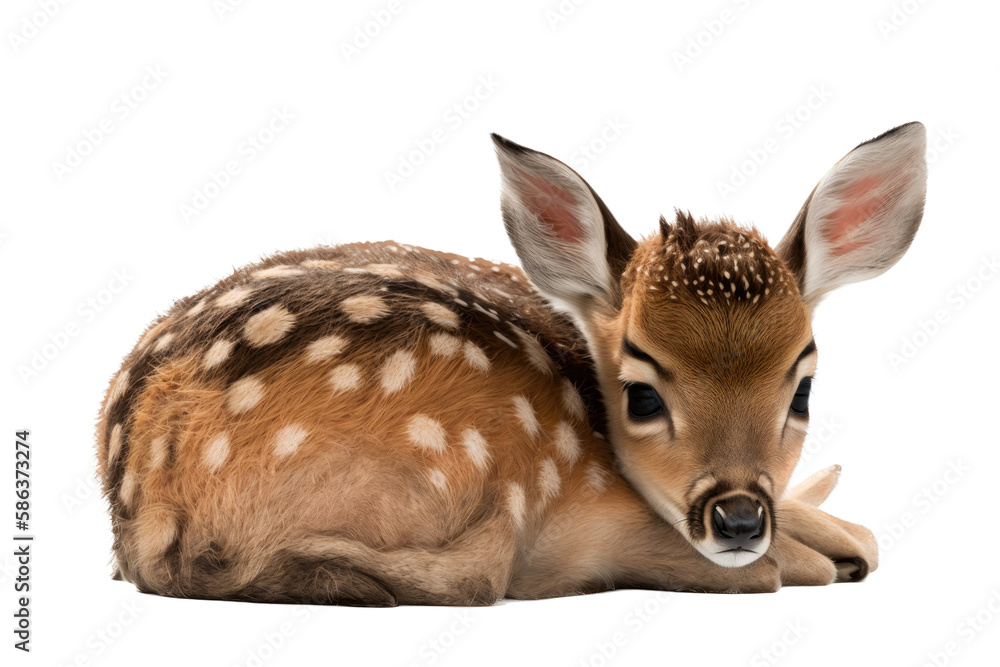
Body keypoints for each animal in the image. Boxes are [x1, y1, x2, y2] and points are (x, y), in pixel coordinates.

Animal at [96, 122, 926, 605]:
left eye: (803, 390)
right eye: (642, 395)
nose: (740, 515)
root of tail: (145, 492)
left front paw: (841, 538)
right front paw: (823, 552)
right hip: (469, 453)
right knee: (479, 577)